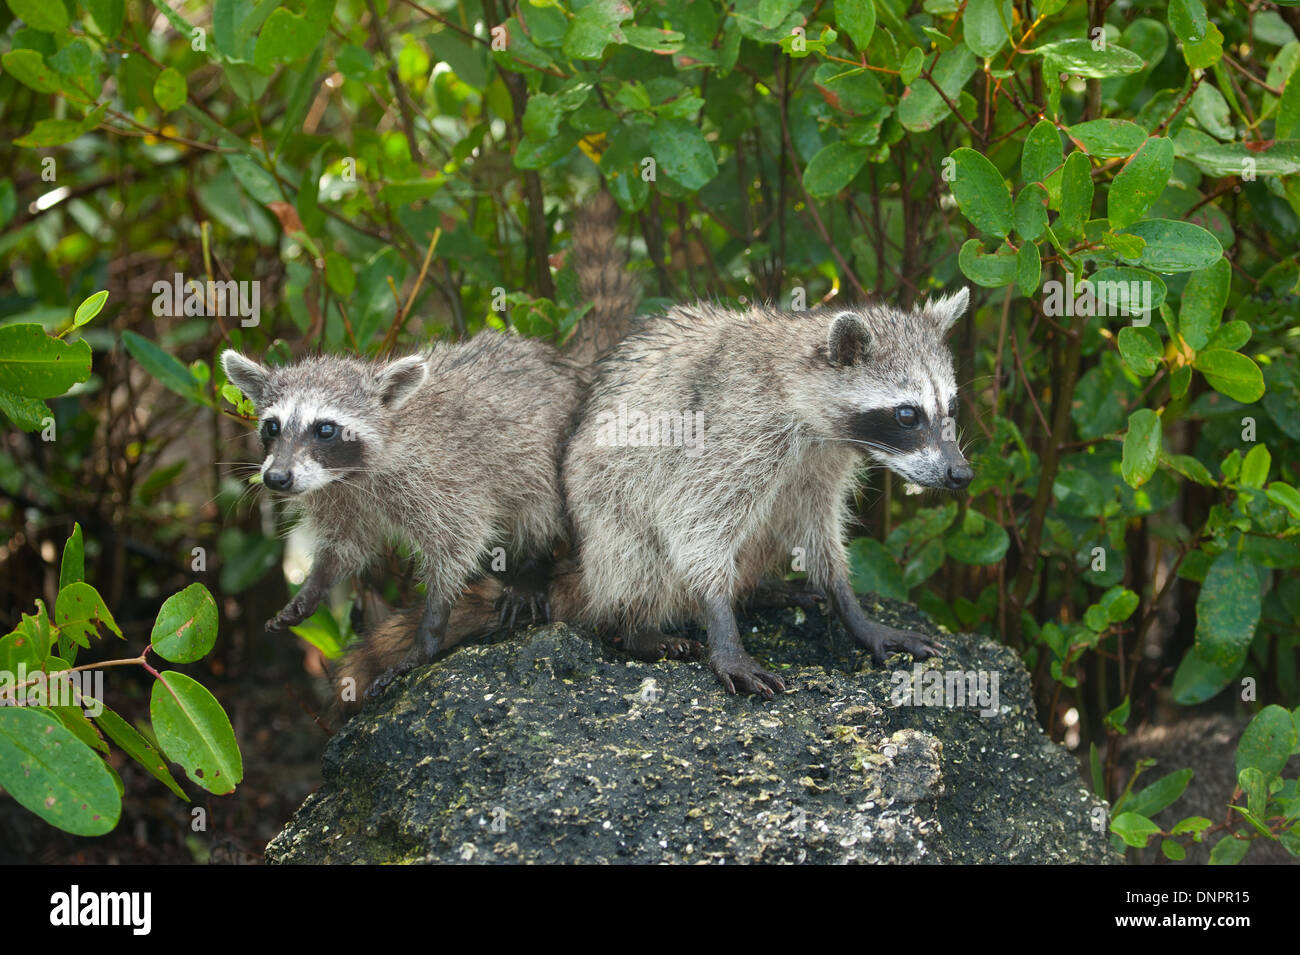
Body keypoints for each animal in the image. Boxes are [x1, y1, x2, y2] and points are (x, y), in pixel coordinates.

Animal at [221, 332, 580, 695]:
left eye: (324, 429)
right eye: (272, 427)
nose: (275, 478)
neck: (350, 476)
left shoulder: (444, 481)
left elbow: (456, 544)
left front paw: (431, 628)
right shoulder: (336, 495)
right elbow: (347, 545)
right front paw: (314, 584)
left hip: (544, 453)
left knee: (537, 502)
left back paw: (533, 560)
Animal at [562, 290, 973, 696]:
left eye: (952, 407)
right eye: (907, 415)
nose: (962, 474)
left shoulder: (822, 462)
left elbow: (819, 527)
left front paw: (848, 603)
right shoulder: (739, 426)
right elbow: (692, 519)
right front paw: (720, 618)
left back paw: (755, 589)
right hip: (603, 494)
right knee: (633, 548)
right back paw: (634, 623)